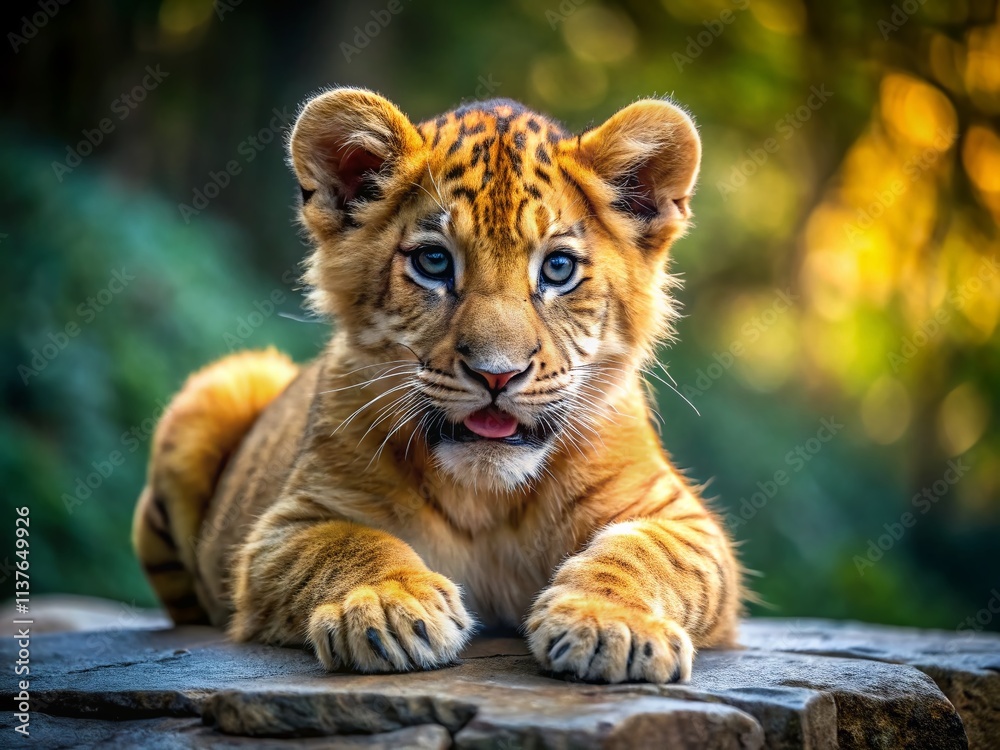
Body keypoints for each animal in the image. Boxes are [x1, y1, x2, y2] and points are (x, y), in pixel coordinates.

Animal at [132, 87, 743, 684]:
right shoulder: (283, 528)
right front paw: (387, 607)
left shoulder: (681, 520)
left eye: (558, 268)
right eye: (433, 261)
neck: (487, 499)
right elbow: (346, 545)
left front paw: (609, 624)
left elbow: (644, 555)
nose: (497, 374)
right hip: (221, 385)